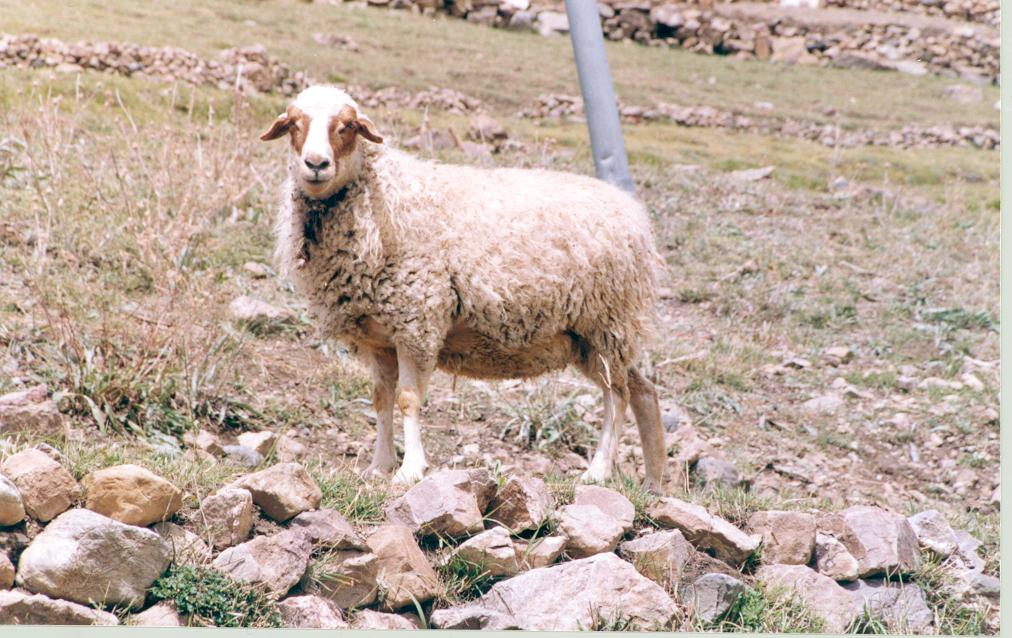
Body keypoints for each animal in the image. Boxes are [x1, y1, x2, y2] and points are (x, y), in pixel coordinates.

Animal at [261, 85, 667, 491]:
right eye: (294, 124)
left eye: (346, 126)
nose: (316, 164)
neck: (384, 194)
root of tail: (635, 213)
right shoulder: (379, 339)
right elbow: (381, 400)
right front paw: (379, 465)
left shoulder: (416, 322)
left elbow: (407, 400)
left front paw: (410, 469)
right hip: (590, 337)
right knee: (643, 392)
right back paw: (655, 480)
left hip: (607, 323)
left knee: (617, 396)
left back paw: (598, 471)